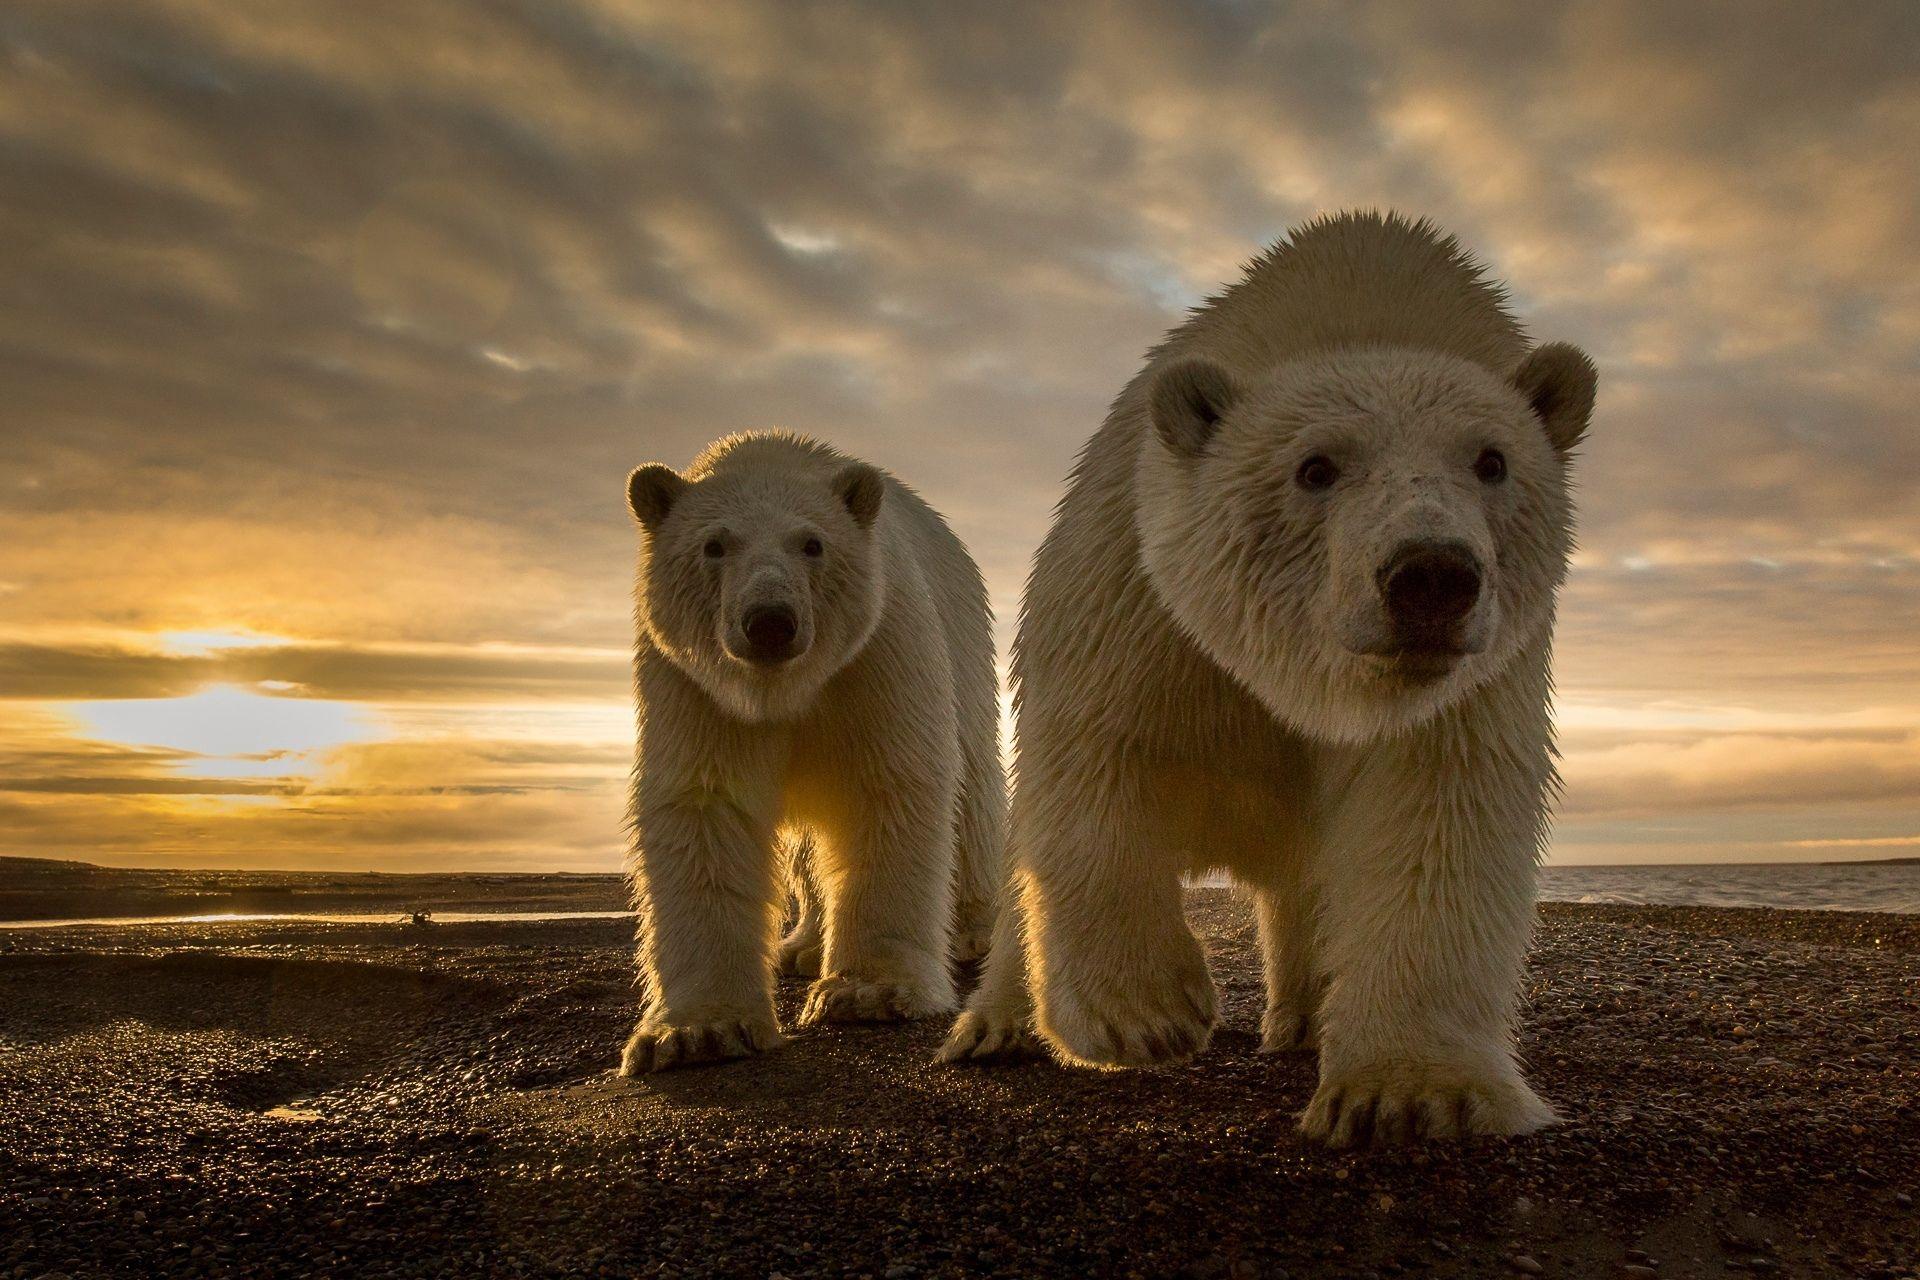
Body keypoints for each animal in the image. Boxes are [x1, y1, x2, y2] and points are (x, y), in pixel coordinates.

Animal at [619, 432, 1005, 1073]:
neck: (784, 690)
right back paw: (799, 946)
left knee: (973, 790)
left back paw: (973, 930)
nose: (770, 621)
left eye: (813, 543)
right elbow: (704, 808)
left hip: (966, 648)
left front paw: (869, 991)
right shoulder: (694, 685)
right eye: (714, 545)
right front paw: (698, 1030)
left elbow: (888, 782)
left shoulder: (879, 649)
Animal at [940, 211, 1595, 1146]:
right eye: (1315, 466)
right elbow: (1098, 753)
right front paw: (1144, 1013)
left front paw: (1409, 1092)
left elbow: (1437, 816)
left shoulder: (1471, 680)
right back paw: (995, 1024)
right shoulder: (1139, 590)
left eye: (1493, 460)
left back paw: (1304, 1018)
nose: (1432, 576)